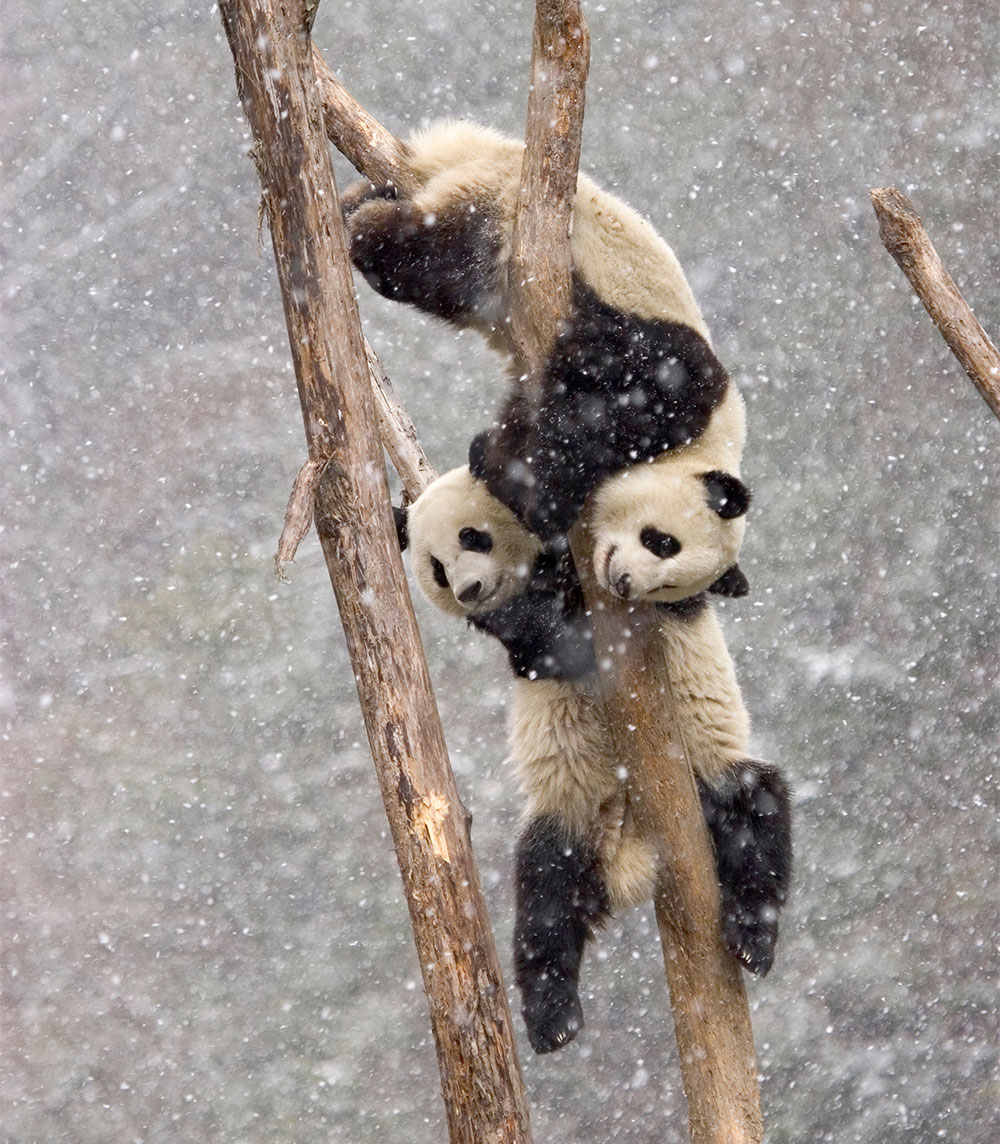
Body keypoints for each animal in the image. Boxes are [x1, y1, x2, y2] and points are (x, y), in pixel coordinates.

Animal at [343, 119, 742, 544]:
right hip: (497, 216)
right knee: (438, 256)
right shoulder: (663, 373)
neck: (705, 441)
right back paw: (367, 222)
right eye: (662, 543)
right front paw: (545, 504)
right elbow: (587, 418)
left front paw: (493, 461)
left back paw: (362, 200)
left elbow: (525, 418)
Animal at [398, 467, 792, 1054]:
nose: (470, 591)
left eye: (473, 536)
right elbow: (545, 643)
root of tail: (628, 856)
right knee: (545, 899)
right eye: (436, 571)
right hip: (571, 817)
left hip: (711, 776)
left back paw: (752, 938)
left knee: (756, 810)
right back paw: (552, 1019)